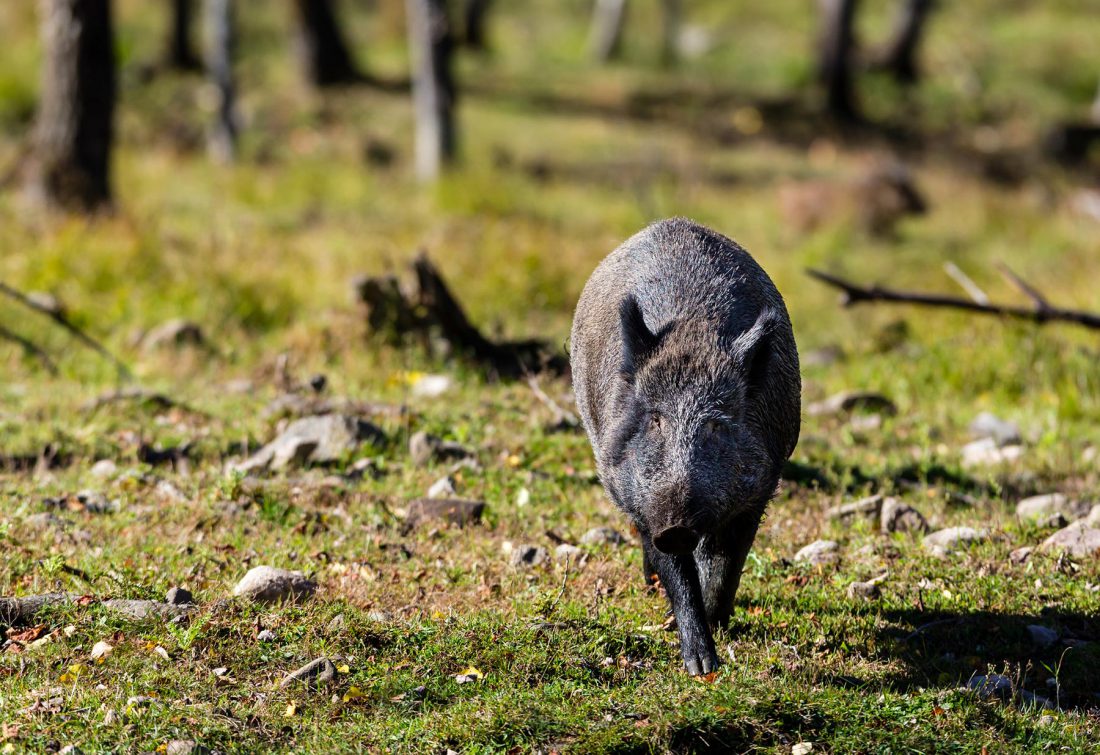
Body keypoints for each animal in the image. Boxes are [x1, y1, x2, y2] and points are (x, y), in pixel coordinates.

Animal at [570, 218, 801, 675]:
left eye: (715, 424)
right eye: (655, 419)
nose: (676, 525)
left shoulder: (761, 486)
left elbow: (727, 560)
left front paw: (718, 635)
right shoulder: (640, 496)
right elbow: (677, 570)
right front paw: (701, 666)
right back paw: (649, 584)